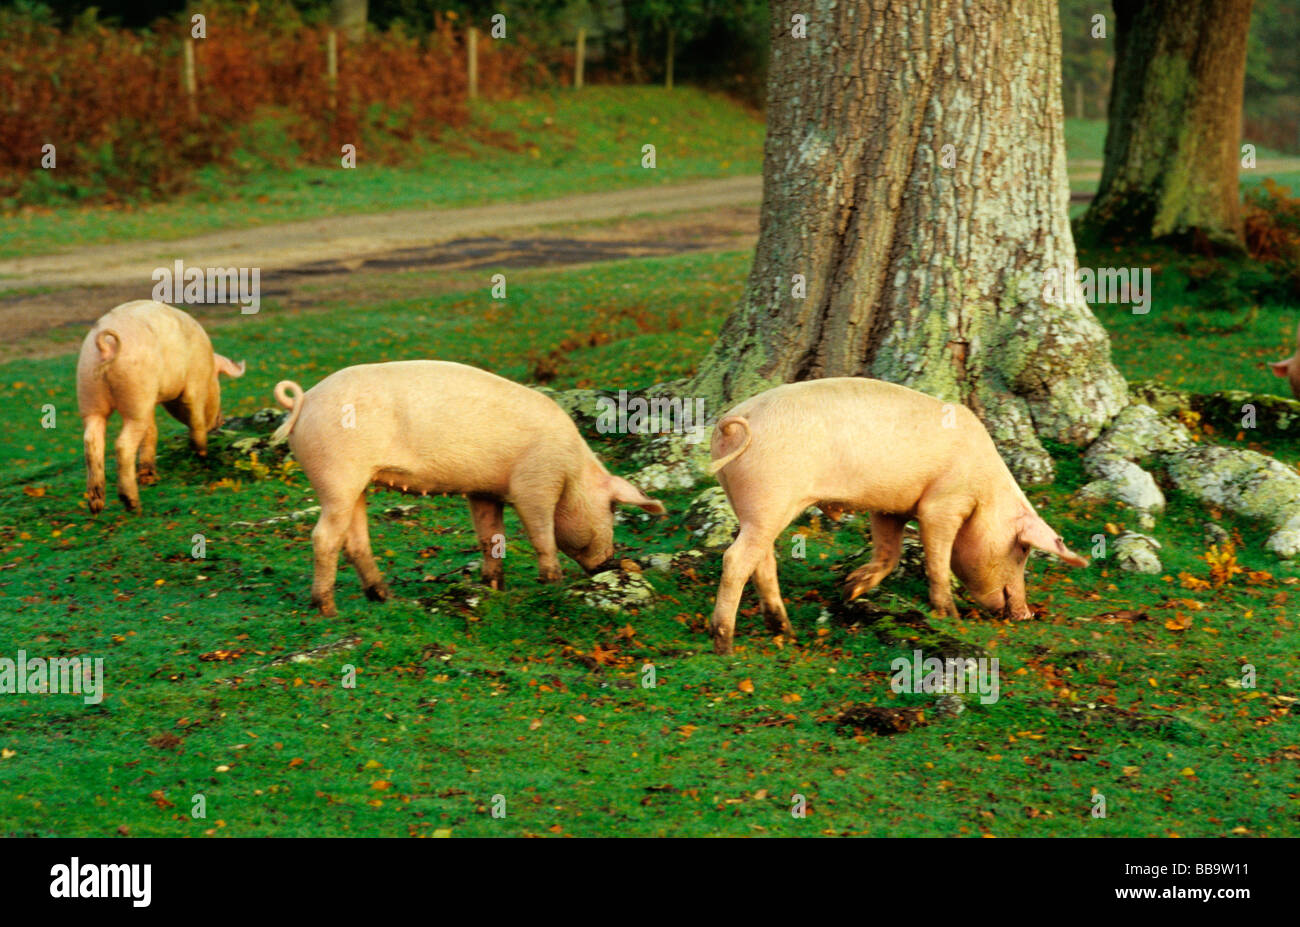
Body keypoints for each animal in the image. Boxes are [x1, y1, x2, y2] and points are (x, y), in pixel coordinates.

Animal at [77, 300, 246, 514]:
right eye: (219, 382)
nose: (222, 420)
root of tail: (106, 347)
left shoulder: (150, 401)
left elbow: (152, 431)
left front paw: (150, 478)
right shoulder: (194, 384)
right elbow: (195, 416)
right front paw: (202, 453)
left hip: (89, 392)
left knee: (91, 441)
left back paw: (96, 505)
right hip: (135, 395)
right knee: (123, 445)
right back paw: (132, 504)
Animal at [271, 360, 665, 616]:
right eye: (612, 508)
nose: (610, 563)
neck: (573, 471)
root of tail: (303, 401)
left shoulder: (483, 491)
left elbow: (490, 537)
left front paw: (493, 587)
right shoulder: (535, 483)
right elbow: (542, 534)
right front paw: (551, 583)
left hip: (357, 482)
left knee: (354, 541)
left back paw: (385, 597)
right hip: (337, 474)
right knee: (323, 537)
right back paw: (327, 610)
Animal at [707, 377, 1088, 655]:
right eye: (1023, 549)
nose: (1026, 614)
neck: (985, 493)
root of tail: (731, 422)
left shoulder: (890, 507)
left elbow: (889, 553)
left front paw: (850, 591)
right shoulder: (942, 503)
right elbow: (938, 559)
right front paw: (949, 615)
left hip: (756, 507)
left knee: (763, 561)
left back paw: (785, 631)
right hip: (771, 498)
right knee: (736, 559)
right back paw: (725, 645)